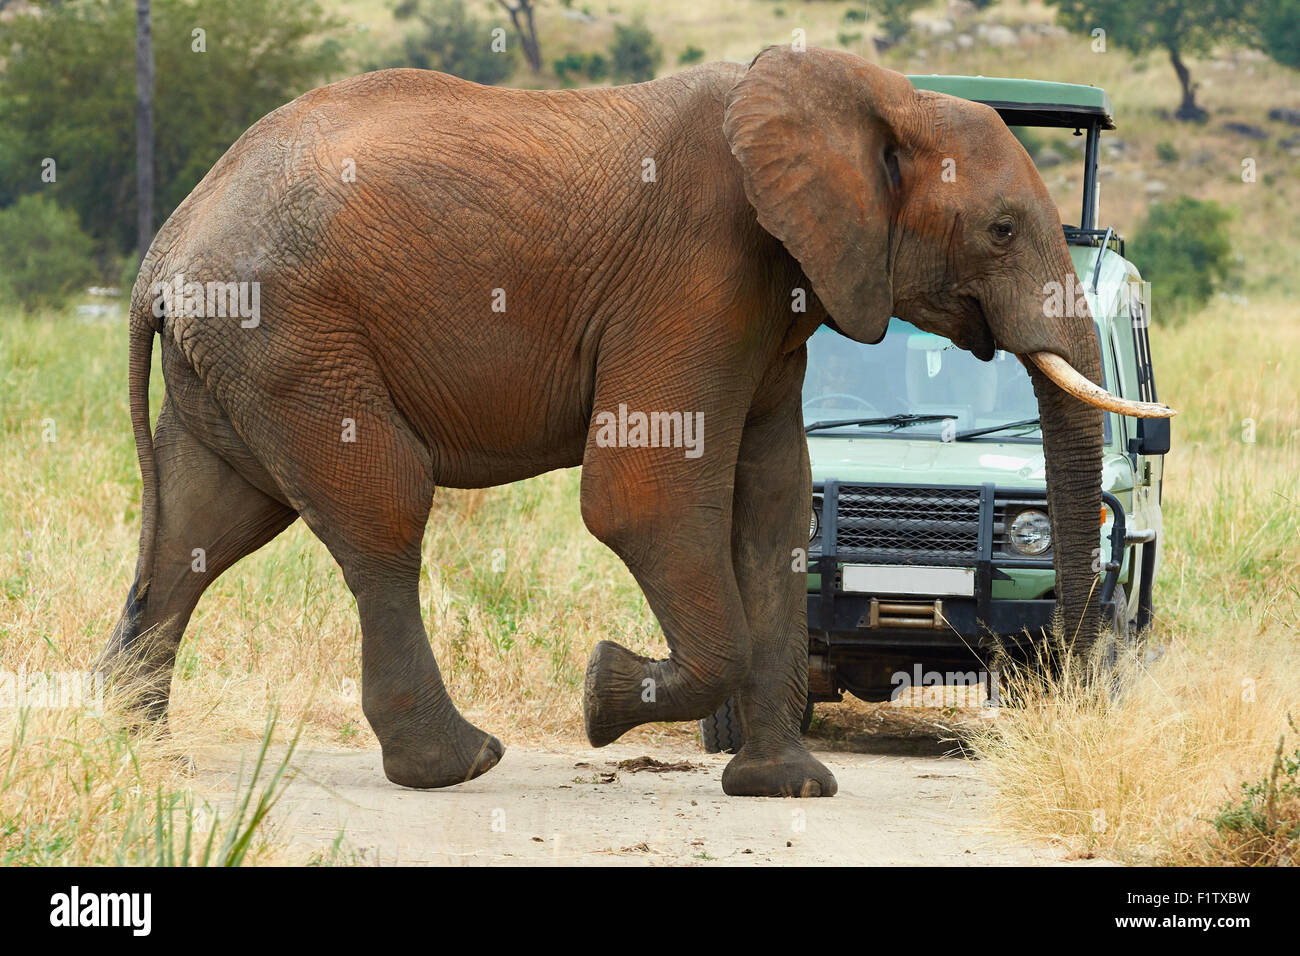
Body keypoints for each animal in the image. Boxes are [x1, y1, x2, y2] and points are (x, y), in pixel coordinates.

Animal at [99, 46, 1172, 798]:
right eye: (1001, 229)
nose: (1074, 666)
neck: (869, 92)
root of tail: (164, 249)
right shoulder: (698, 271)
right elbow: (642, 498)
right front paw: (600, 692)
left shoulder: (775, 302)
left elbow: (773, 507)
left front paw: (787, 787)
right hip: (294, 336)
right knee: (380, 515)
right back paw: (459, 763)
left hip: (239, 360)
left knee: (202, 530)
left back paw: (135, 749)